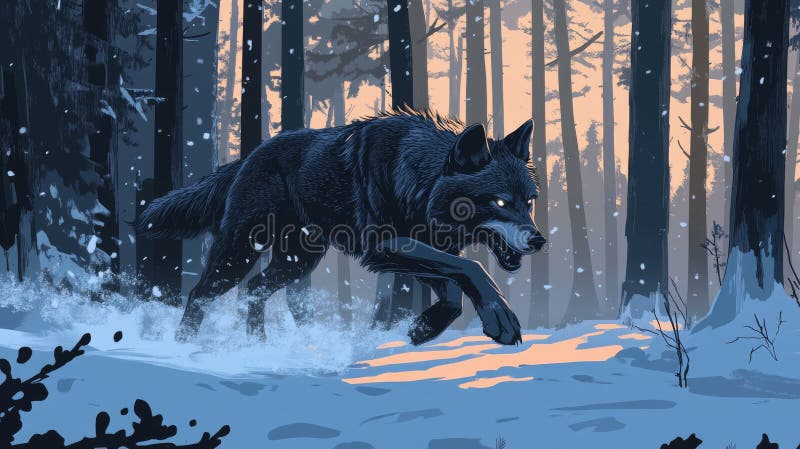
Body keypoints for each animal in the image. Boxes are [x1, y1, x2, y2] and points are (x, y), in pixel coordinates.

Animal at [135, 110, 546, 345]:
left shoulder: (422, 251)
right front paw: (501, 320)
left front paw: (423, 329)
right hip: (238, 253)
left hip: (297, 262)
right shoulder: (384, 245)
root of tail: (247, 157)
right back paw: (185, 347)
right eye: (500, 203)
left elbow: (454, 290)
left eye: (529, 202)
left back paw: (258, 345)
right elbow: (473, 269)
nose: (539, 240)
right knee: (199, 294)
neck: (416, 178)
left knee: (254, 290)